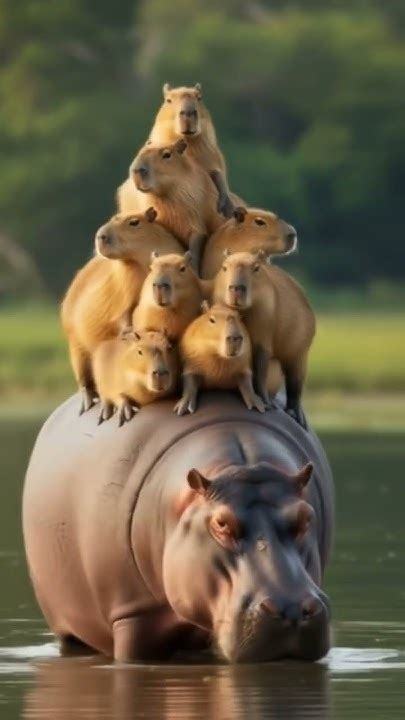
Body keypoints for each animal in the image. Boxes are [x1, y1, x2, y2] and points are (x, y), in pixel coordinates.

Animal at [23, 392, 334, 663]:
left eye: (306, 517)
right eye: (221, 523)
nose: (292, 609)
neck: (242, 468)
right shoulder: (133, 614)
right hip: (67, 625)